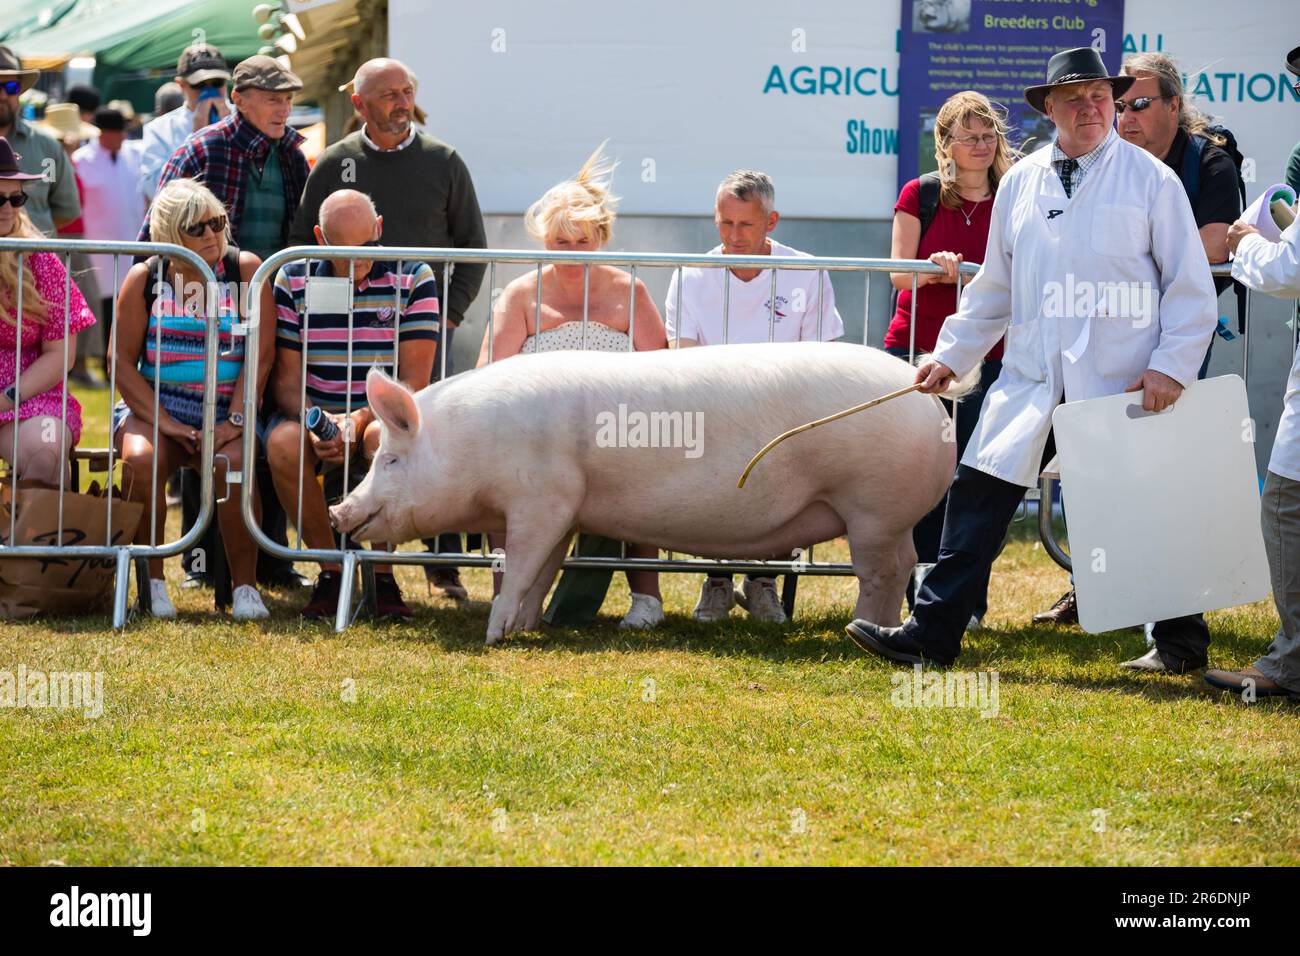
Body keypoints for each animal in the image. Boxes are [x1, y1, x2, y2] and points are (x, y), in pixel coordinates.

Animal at [329, 341, 975, 643]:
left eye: (389, 459)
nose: (339, 510)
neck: (473, 444)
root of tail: (926, 394)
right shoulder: (564, 507)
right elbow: (542, 571)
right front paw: (525, 630)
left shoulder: (542, 499)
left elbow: (521, 567)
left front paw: (493, 635)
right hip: (887, 516)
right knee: (905, 563)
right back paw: (878, 629)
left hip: (871, 504)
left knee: (882, 571)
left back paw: (861, 632)